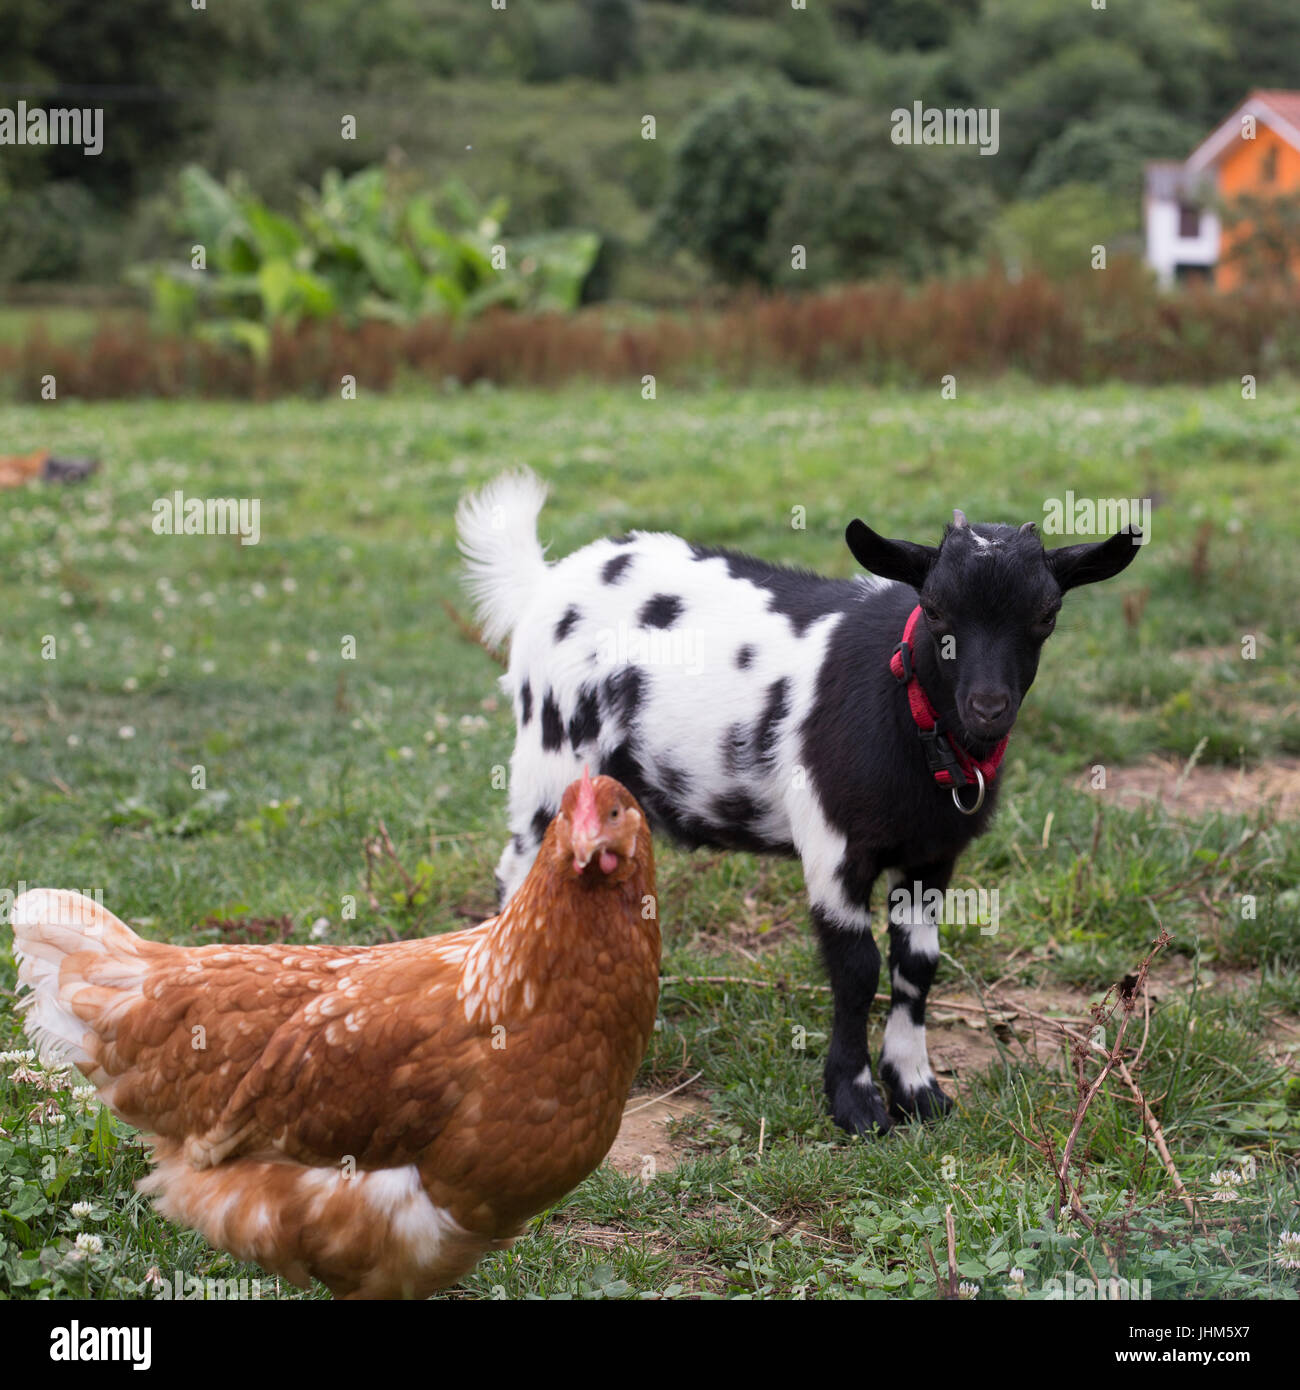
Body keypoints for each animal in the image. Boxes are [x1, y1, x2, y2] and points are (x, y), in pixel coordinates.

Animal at [457, 471, 1140, 1135]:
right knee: (518, 874)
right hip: (551, 762)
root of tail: (546, 581)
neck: (909, 708)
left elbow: (917, 963)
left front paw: (917, 1089)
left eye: (1047, 614)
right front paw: (856, 1103)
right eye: (934, 608)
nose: (989, 707)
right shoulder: (834, 840)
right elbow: (858, 967)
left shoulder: (933, 854)